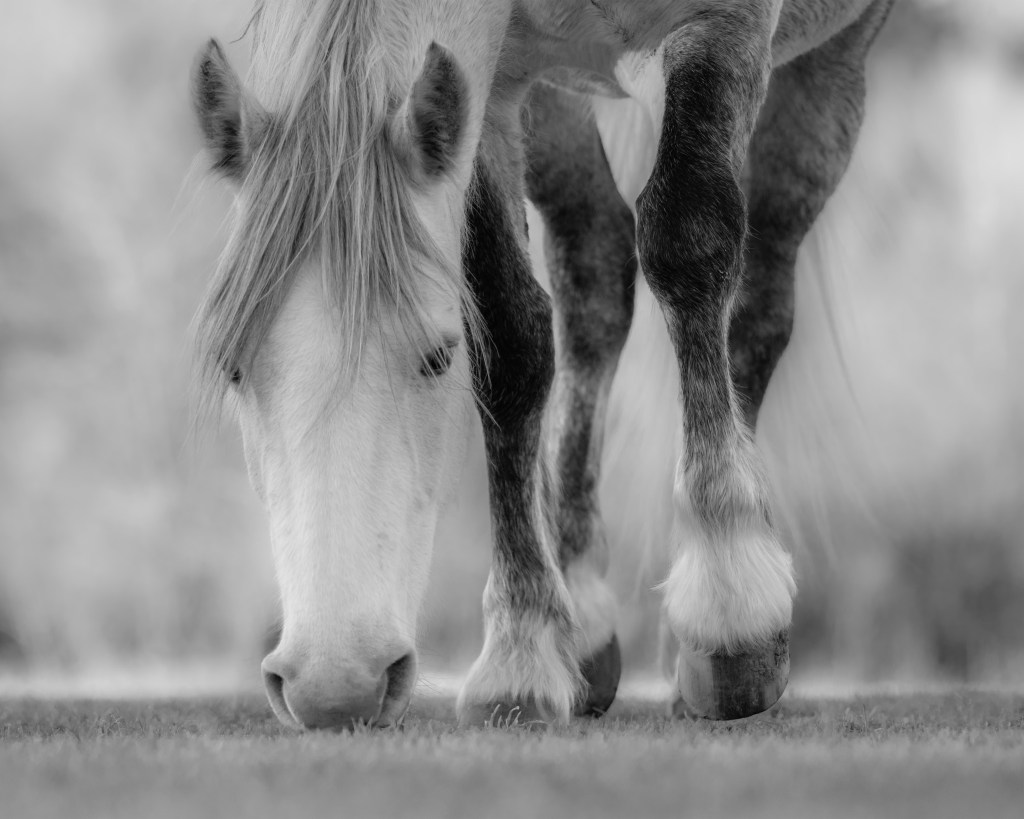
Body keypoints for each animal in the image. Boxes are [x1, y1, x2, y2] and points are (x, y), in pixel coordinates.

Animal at [190, 0, 894, 730]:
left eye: (438, 357)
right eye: (232, 367)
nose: (335, 684)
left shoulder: (727, 26)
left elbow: (687, 240)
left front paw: (732, 612)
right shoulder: (493, 88)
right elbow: (509, 334)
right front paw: (520, 652)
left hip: (830, 60)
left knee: (757, 301)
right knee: (594, 272)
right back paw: (580, 617)